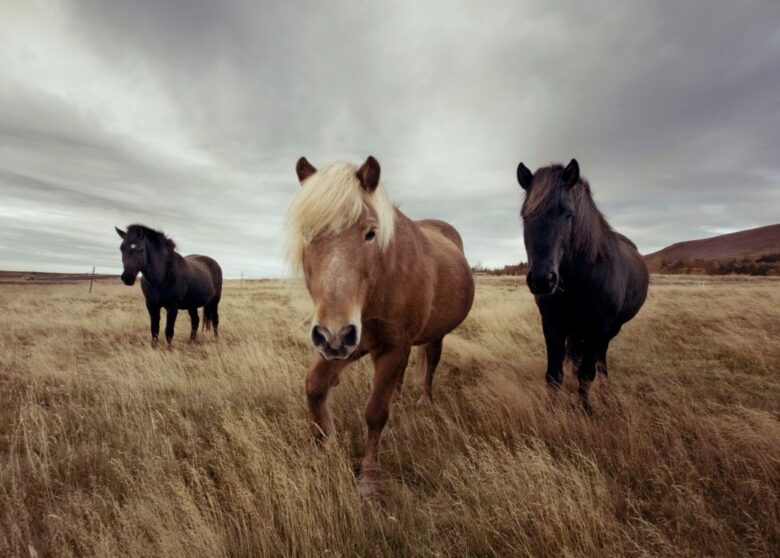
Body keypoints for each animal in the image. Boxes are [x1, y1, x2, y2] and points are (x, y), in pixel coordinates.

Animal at [286, 155, 475, 494]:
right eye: (306, 234)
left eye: (370, 233)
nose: (332, 333)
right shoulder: (353, 344)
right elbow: (315, 387)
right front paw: (326, 447)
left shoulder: (389, 346)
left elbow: (375, 412)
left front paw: (369, 477)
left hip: (433, 337)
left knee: (431, 363)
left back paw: (424, 400)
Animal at [516, 159, 648, 412]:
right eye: (525, 216)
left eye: (569, 214)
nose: (542, 280)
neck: (581, 281)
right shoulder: (552, 324)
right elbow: (554, 374)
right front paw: (551, 410)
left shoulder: (599, 327)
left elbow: (587, 374)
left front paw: (586, 409)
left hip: (611, 329)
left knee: (601, 359)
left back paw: (605, 390)